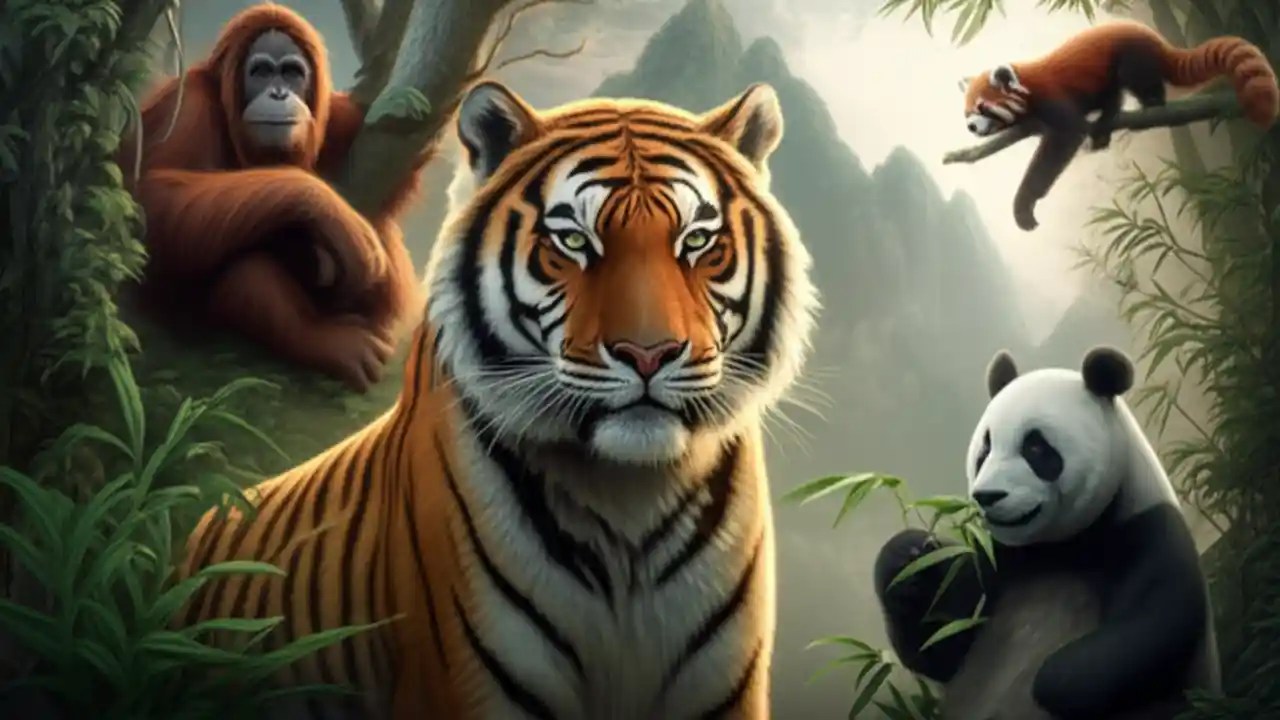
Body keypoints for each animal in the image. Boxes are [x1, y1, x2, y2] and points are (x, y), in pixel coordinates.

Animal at [873, 346, 1220, 720]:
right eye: (985, 449)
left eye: (1036, 448)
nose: (987, 496)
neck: (1060, 545)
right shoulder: (999, 559)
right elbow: (942, 640)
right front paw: (910, 557)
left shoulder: (1145, 528)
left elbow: (1155, 623)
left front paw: (1054, 679)